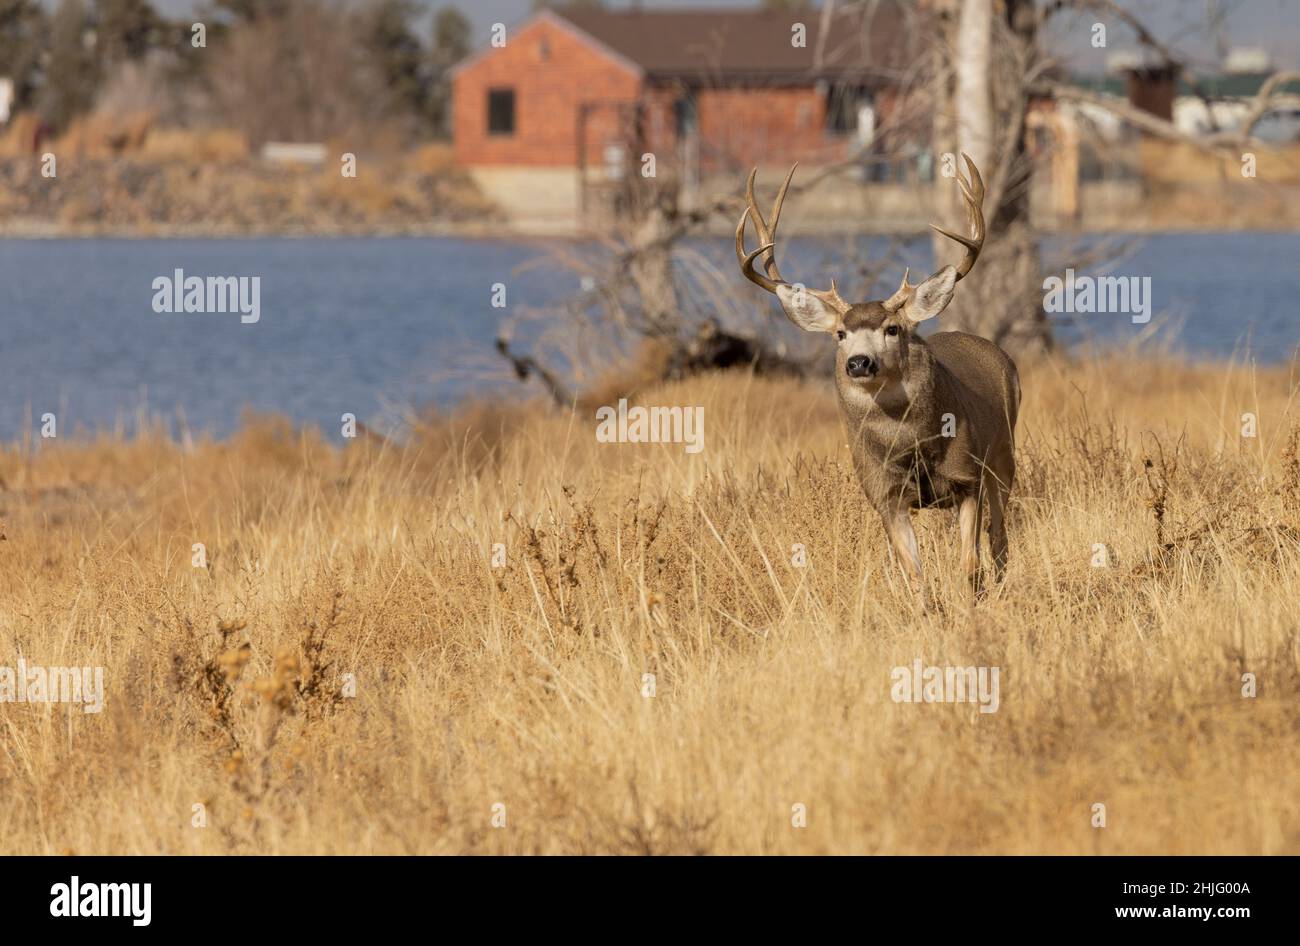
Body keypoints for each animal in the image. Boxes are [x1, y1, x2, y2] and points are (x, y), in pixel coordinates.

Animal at [735, 154, 1019, 601]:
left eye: (892, 328)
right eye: (840, 334)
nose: (859, 363)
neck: (910, 446)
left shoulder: (967, 477)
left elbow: (969, 566)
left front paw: (972, 607)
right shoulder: (883, 494)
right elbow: (914, 576)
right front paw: (927, 609)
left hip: (1004, 455)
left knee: (1000, 538)